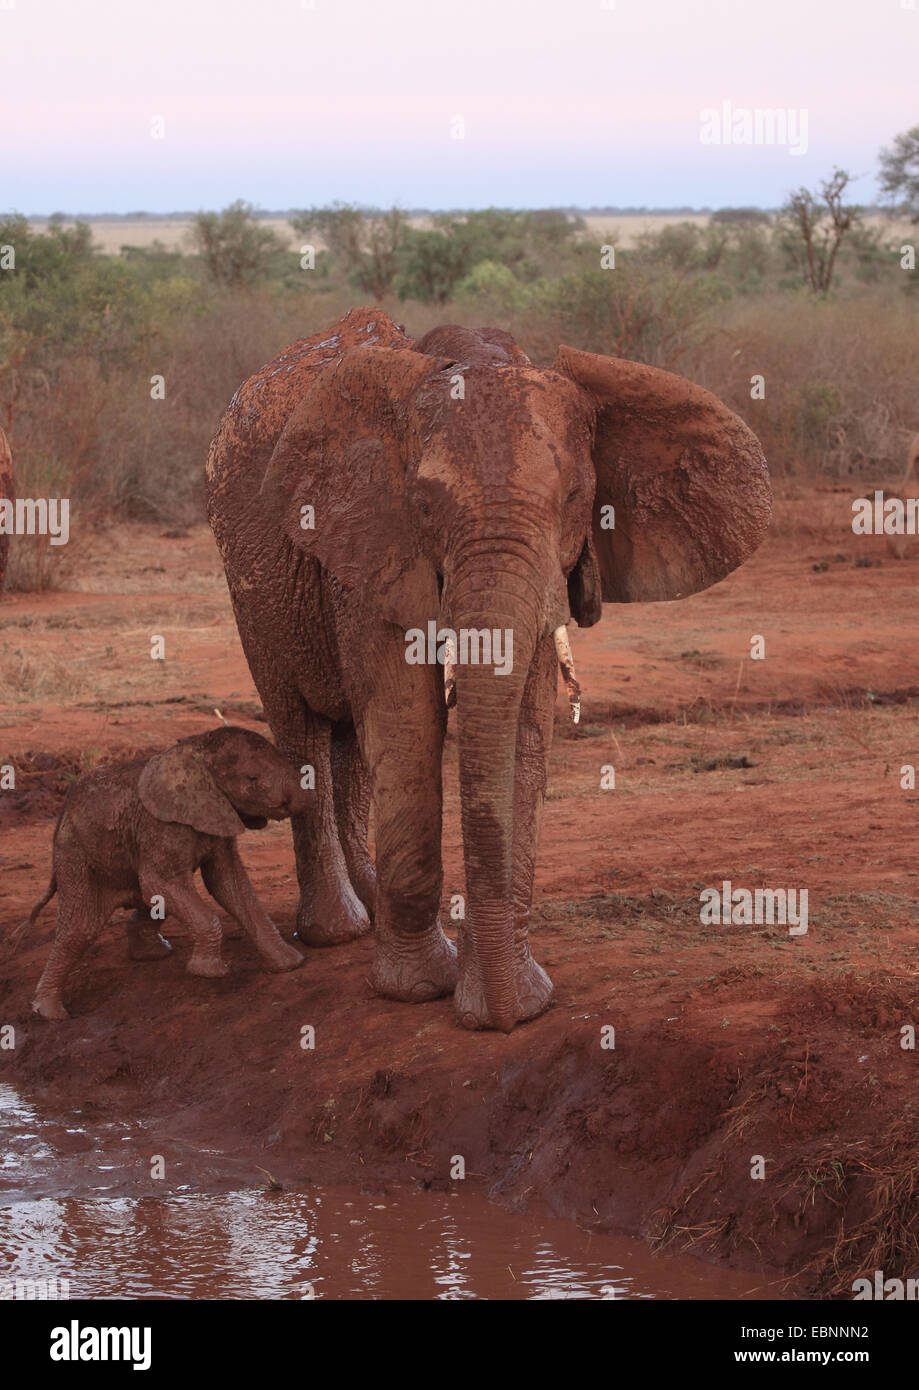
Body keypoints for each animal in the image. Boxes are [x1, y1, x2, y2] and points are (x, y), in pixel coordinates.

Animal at [19, 726, 306, 1019]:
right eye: (252, 778)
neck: (199, 749)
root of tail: (61, 814)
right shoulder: (160, 824)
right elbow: (158, 882)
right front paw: (209, 972)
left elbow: (228, 882)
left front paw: (290, 964)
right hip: (74, 853)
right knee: (80, 929)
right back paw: (50, 1013)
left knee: (151, 903)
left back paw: (152, 954)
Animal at [206, 307, 771, 1032]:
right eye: (422, 505)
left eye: (575, 497)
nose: (502, 1021)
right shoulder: (371, 542)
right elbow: (406, 719)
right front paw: (420, 988)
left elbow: (523, 727)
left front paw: (511, 1000)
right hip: (252, 588)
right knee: (301, 723)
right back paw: (339, 931)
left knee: (348, 740)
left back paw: (369, 908)